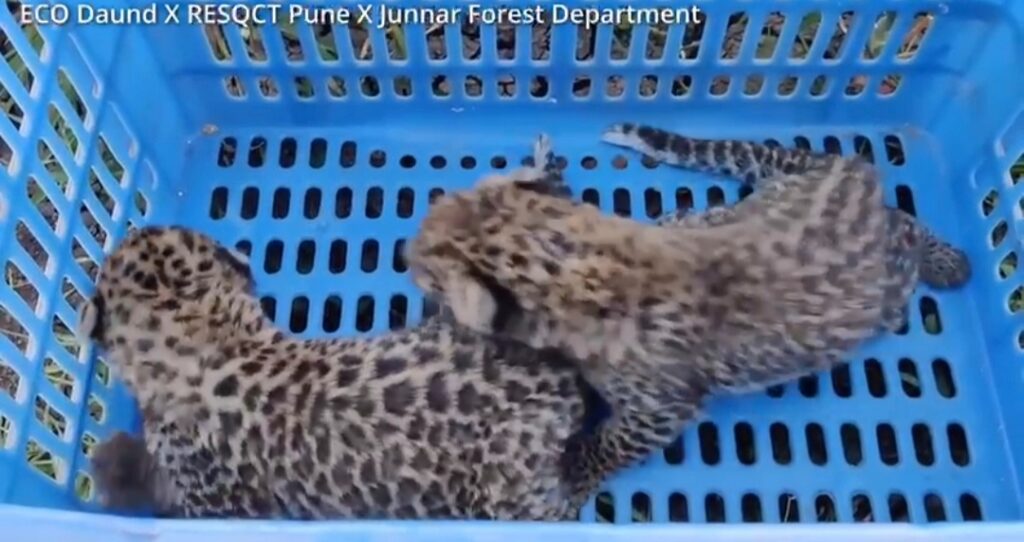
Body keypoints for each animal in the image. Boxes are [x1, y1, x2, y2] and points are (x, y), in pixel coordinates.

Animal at [402, 127, 971, 507]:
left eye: (428, 269)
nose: (405, 253)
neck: (578, 261)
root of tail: (851, 171)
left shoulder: (662, 408)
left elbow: (614, 444)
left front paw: (574, 472)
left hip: (889, 263)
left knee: (908, 225)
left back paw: (946, 262)